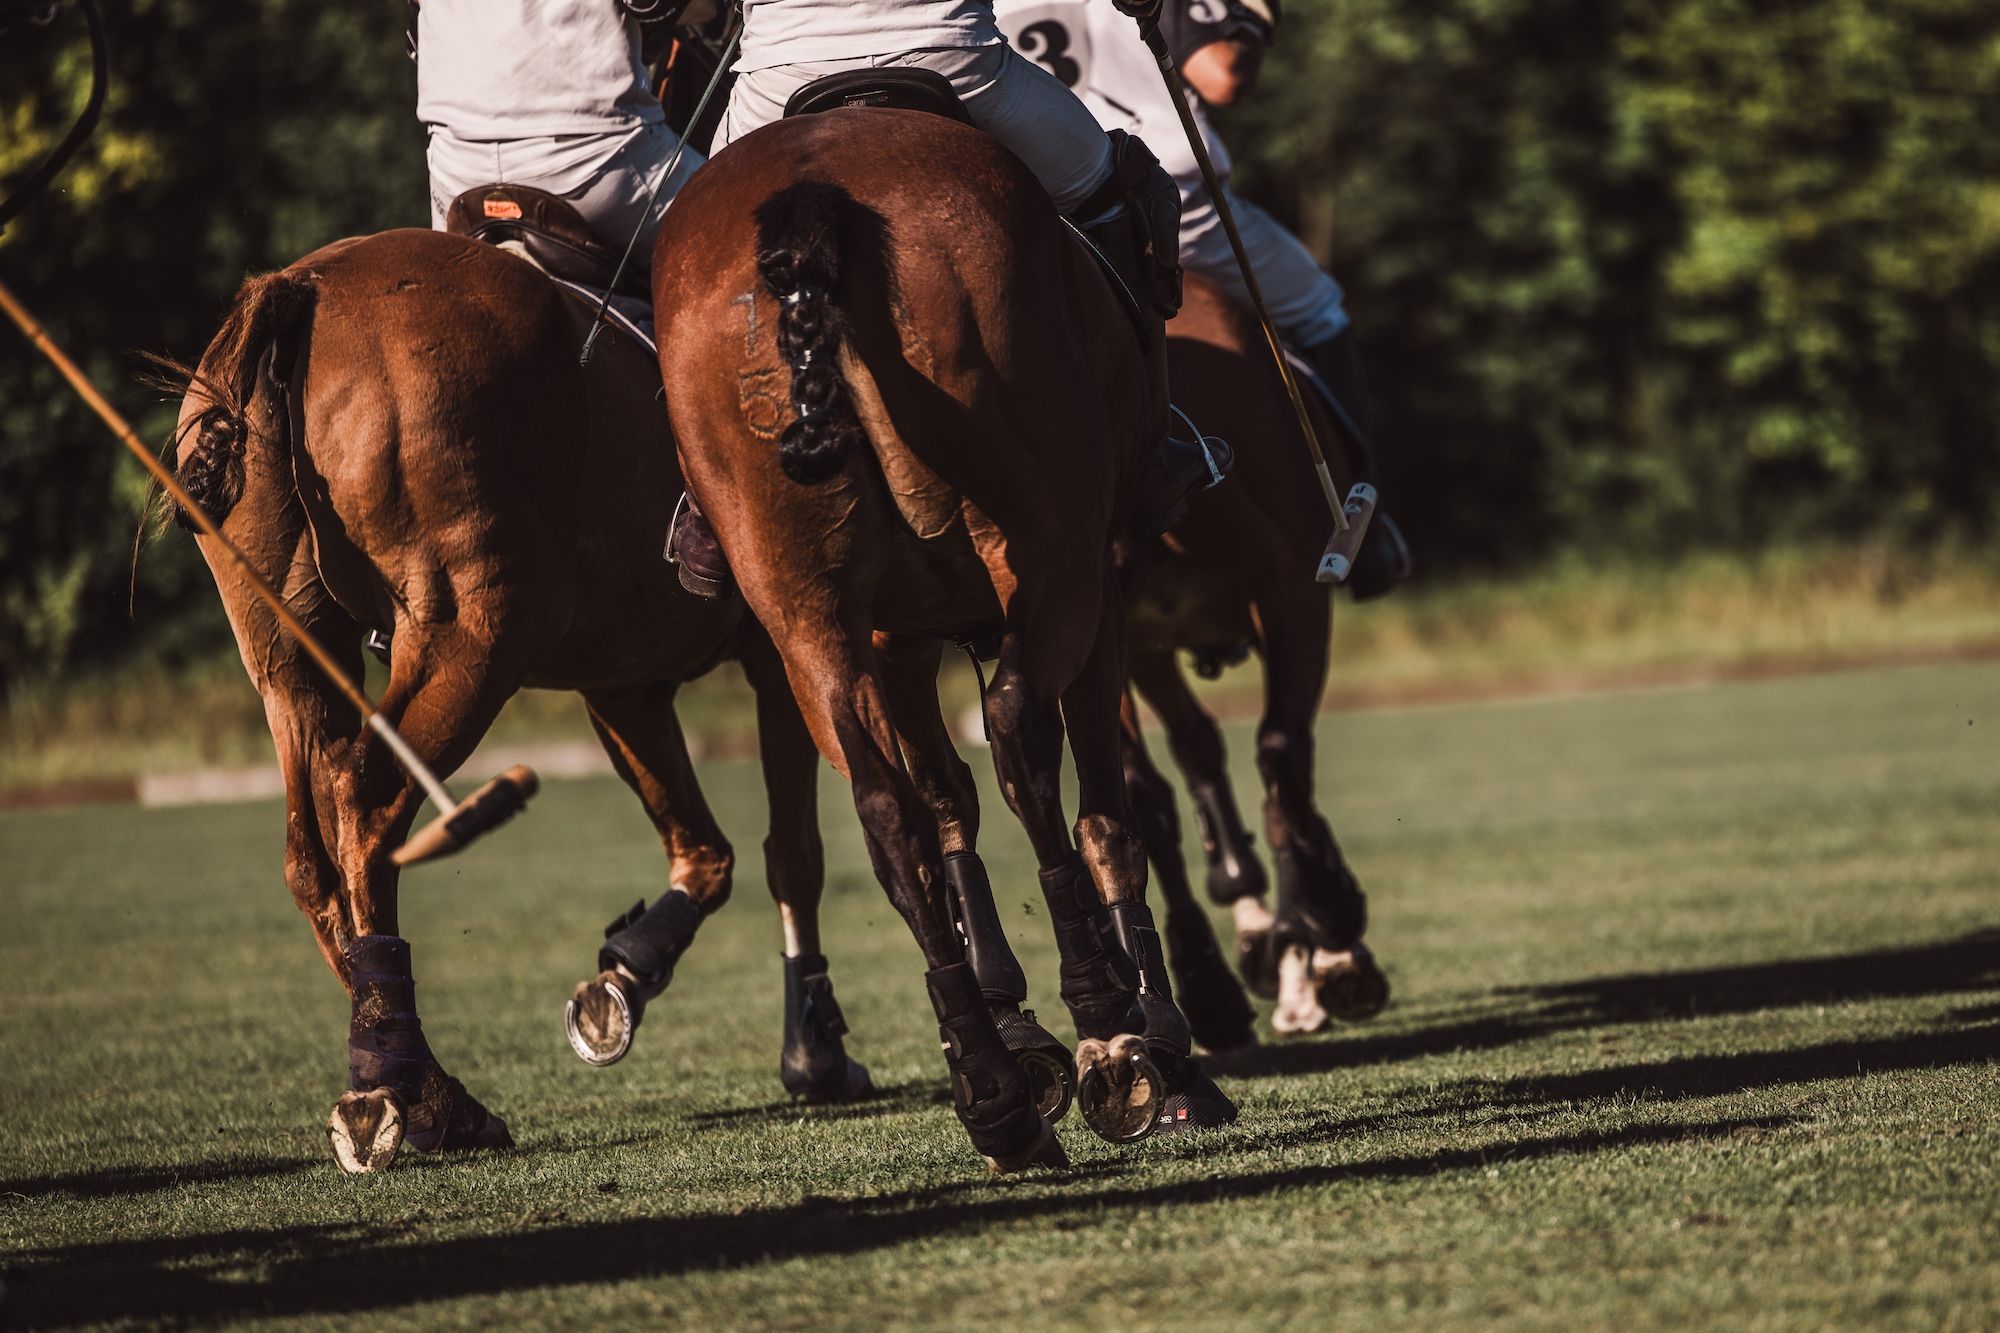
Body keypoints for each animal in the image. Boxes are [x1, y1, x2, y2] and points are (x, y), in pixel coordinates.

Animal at [166, 222, 865, 1174]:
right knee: (369, 805)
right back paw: (400, 1095)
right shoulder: (781, 643)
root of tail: (299, 289)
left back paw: (428, 1089)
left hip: (284, 644)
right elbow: (795, 850)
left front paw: (624, 976)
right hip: (475, 624)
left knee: (311, 853)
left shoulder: (623, 677)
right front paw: (814, 1049)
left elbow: (706, 849)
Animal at [650, 94, 1239, 1172]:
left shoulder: (896, 633)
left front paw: (1010, 1024)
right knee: (1018, 733)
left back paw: (994, 1091)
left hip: (798, 604)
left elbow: (938, 797)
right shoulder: (1099, 577)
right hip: (1045, 546)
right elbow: (1105, 802)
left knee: (886, 808)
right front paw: (1151, 1034)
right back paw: (1104, 1026)